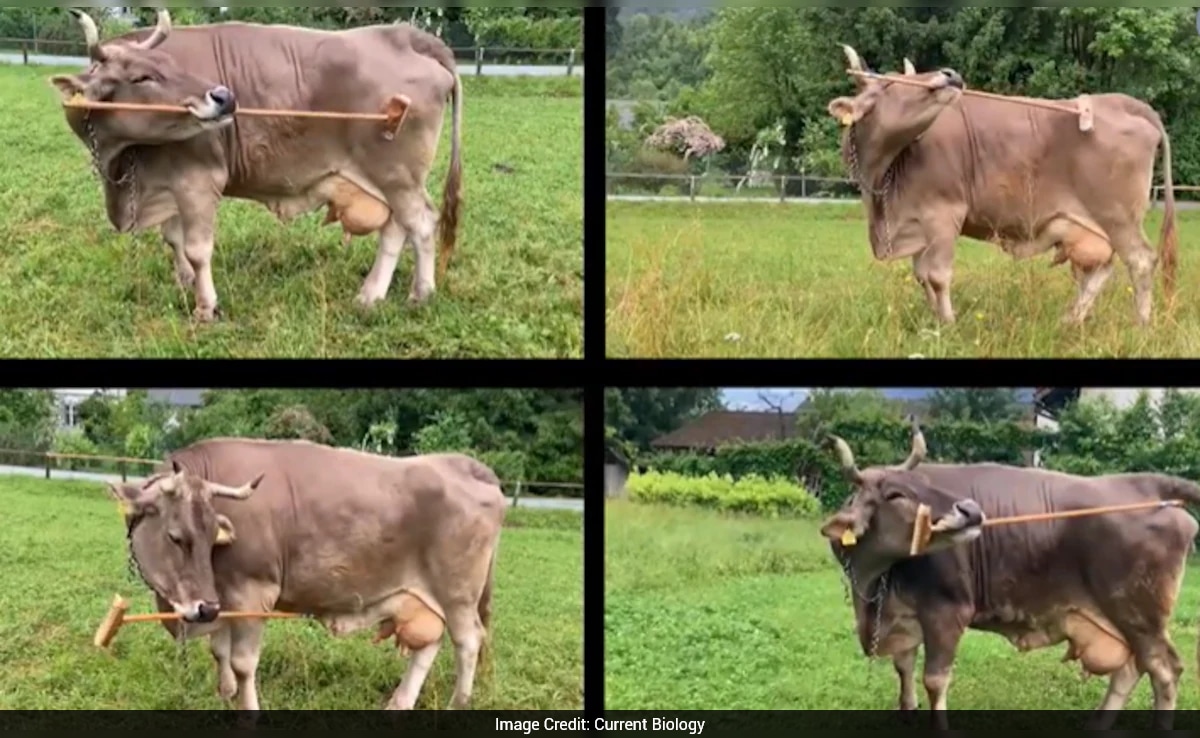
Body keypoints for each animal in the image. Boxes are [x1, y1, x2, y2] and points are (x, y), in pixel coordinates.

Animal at [49, 9, 463, 323]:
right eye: (141, 76)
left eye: (167, 63)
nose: (223, 96)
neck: (122, 165)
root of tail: (405, 34)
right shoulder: (169, 183)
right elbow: (173, 239)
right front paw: (184, 281)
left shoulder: (198, 181)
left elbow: (198, 249)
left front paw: (205, 307)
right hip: (389, 181)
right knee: (395, 229)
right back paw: (371, 295)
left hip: (398, 176)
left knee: (421, 223)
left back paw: (421, 294)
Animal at [105, 438, 505, 711]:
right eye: (177, 537)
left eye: (210, 535)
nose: (203, 609)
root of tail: (462, 463)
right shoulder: (221, 599)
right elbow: (219, 652)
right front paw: (225, 696)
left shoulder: (252, 592)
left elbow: (242, 663)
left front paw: (246, 709)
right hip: (424, 597)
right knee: (430, 643)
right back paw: (400, 702)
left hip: (458, 594)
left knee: (468, 642)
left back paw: (457, 703)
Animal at [819, 423, 1200, 729]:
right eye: (895, 494)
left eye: (923, 482)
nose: (970, 510)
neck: (874, 582)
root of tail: (1144, 481)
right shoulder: (903, 615)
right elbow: (904, 666)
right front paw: (906, 713)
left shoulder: (946, 611)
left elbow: (934, 680)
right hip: (1124, 619)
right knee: (1132, 667)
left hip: (1139, 614)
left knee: (1165, 670)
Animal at [828, 46, 1177, 327]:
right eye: (889, 83)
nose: (950, 74)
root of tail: (1124, 102)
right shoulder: (918, 223)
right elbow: (921, 276)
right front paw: (934, 322)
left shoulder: (943, 215)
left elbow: (937, 277)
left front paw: (948, 325)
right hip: (1093, 226)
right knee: (1102, 269)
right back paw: (1070, 319)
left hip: (1118, 217)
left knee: (1140, 261)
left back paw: (1141, 325)